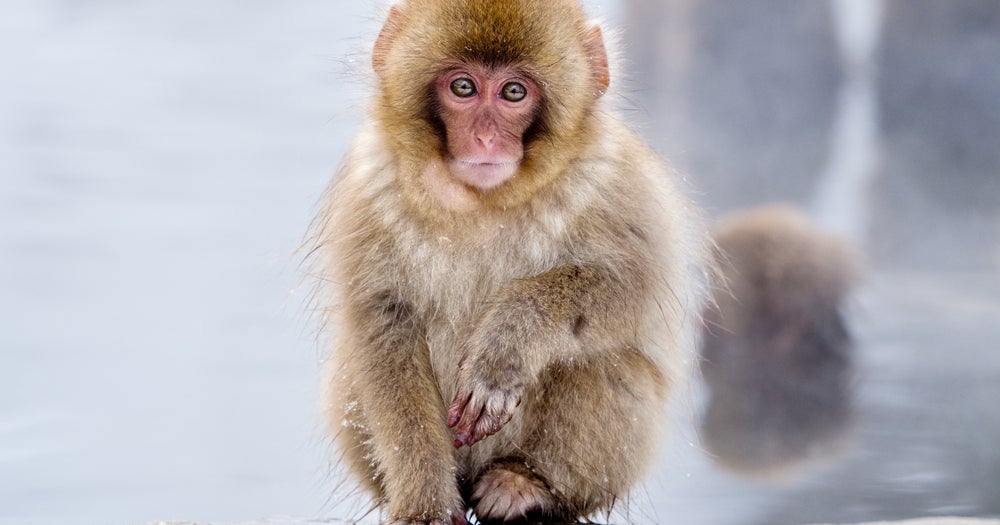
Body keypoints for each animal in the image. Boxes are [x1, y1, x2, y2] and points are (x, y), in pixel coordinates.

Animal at [308, 1, 709, 523]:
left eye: (514, 92)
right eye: (463, 87)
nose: (483, 138)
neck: (483, 201)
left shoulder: (613, 178)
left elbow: (636, 287)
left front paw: (508, 342)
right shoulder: (371, 187)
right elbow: (383, 330)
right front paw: (425, 503)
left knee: (601, 357)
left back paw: (526, 483)